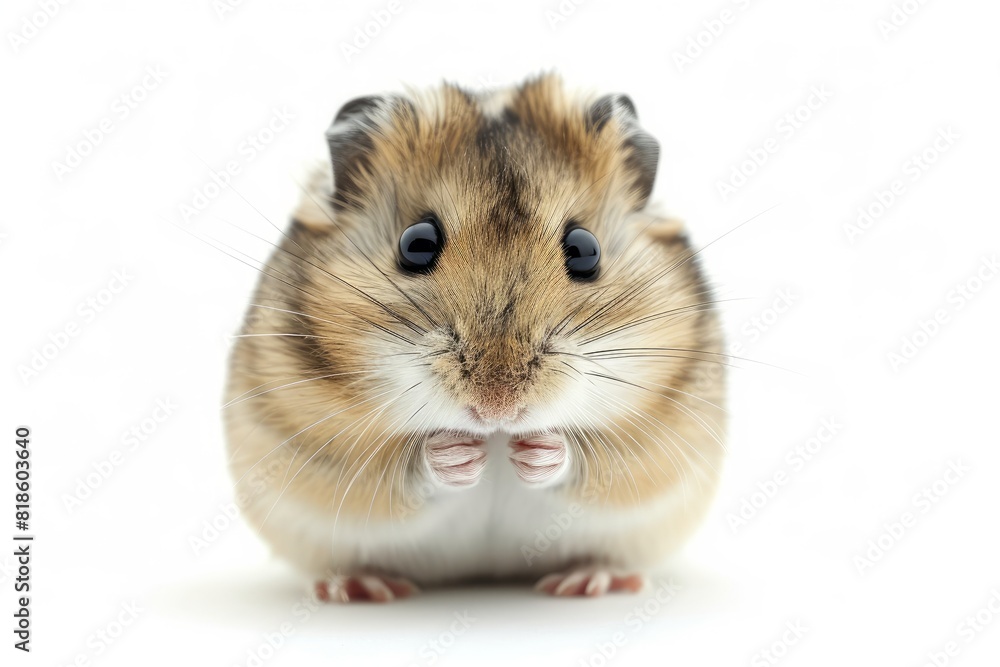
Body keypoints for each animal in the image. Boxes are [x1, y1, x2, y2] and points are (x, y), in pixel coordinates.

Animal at [224, 73, 726, 602]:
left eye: (585, 249)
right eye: (415, 244)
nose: (496, 410)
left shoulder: (654, 442)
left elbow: (586, 456)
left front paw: (535, 450)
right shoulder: (328, 441)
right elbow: (407, 465)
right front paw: (461, 452)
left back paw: (591, 580)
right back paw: (360, 587)